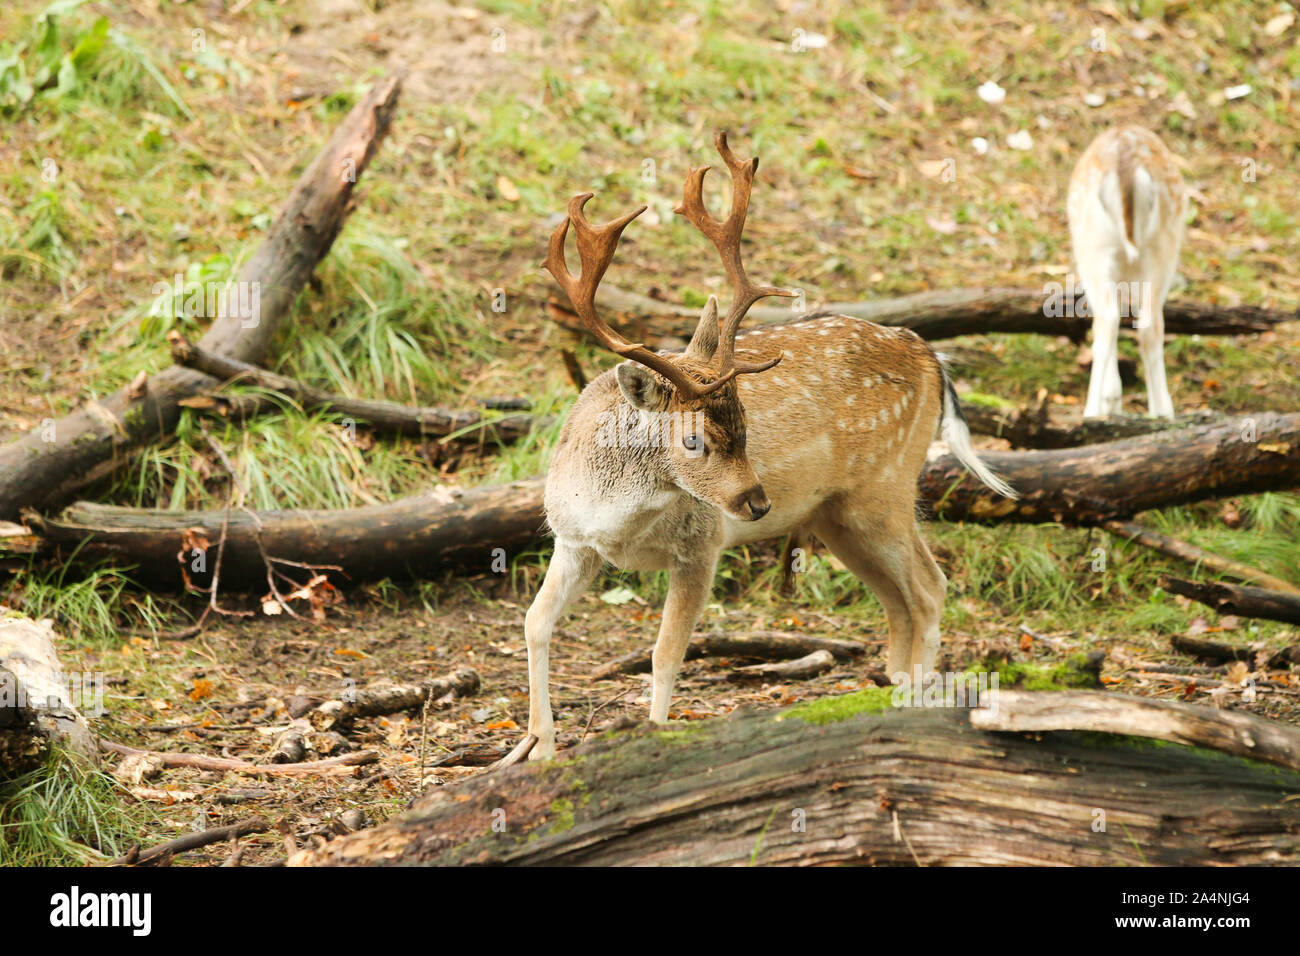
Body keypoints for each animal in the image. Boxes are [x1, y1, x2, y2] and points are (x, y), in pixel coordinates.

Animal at [502, 132, 1017, 766]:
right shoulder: (574, 541)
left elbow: (664, 655)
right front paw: (540, 748)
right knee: (898, 601)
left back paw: (915, 702)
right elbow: (534, 622)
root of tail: (929, 355)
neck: (616, 519)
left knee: (929, 587)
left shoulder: (700, 546)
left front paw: (653, 740)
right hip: (834, 514)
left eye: (745, 421)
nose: (757, 503)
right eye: (693, 438)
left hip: (886, 485)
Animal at [1067, 126, 1187, 421]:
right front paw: (1113, 397)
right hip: (1160, 248)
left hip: (1094, 249)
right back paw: (1162, 412)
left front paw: (1111, 399)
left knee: (1107, 321)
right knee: (1148, 324)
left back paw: (1091, 412)